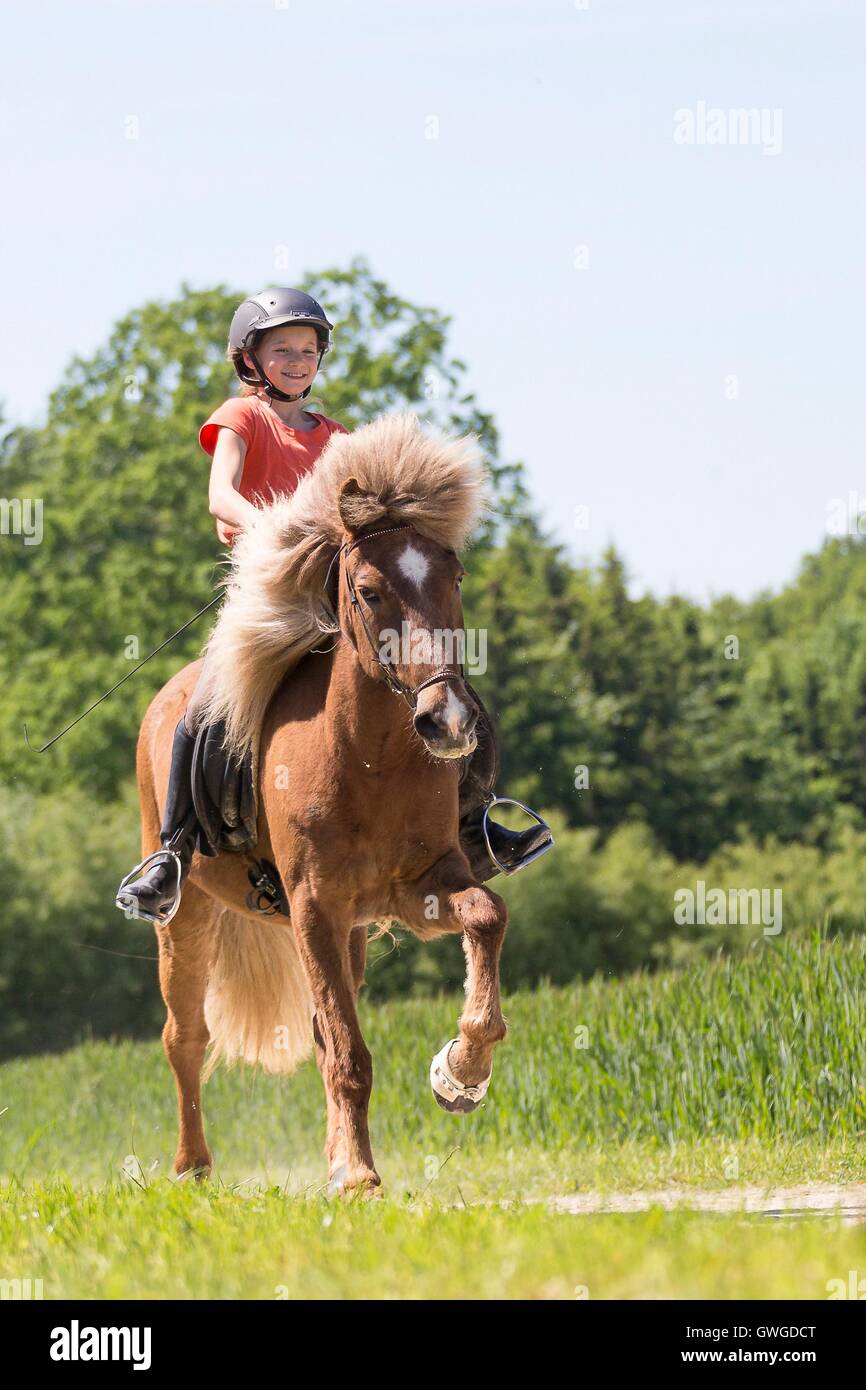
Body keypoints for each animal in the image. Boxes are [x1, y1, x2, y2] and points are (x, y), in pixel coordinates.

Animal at [133, 413, 509, 1196]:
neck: (369, 754)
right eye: (367, 590)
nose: (450, 722)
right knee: (186, 1037)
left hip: (355, 930)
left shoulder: (418, 888)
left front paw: (459, 1073)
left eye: (454, 576)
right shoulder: (314, 906)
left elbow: (487, 916)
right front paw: (361, 1176)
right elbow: (347, 1049)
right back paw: (193, 1168)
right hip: (188, 915)